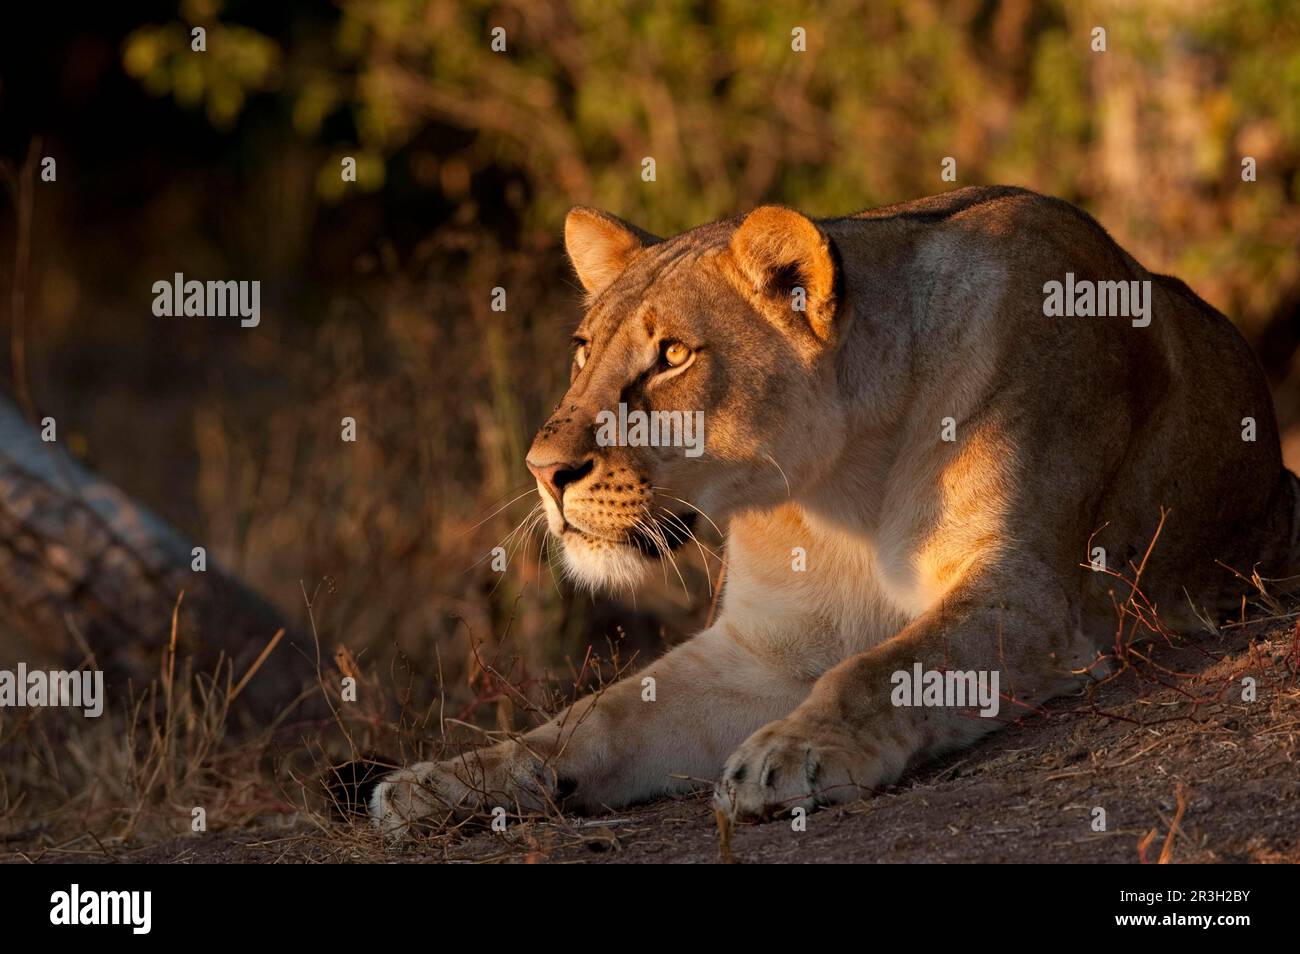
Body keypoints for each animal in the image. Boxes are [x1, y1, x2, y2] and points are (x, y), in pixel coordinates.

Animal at [367, 185, 1300, 835]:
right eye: (583, 351)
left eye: (671, 356)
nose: (542, 472)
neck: (837, 494)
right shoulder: (764, 654)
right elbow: (597, 717)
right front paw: (445, 781)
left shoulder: (1027, 598)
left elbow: (885, 668)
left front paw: (792, 755)